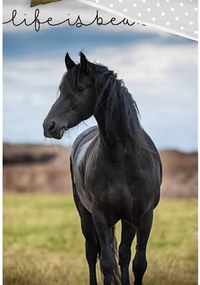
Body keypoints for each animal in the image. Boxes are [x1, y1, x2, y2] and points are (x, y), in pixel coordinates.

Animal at [43, 52, 162, 282]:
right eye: (61, 90)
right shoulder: (100, 216)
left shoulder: (143, 217)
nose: (48, 125)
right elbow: (106, 263)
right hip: (85, 216)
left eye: (80, 89)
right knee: (91, 253)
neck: (123, 159)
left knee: (123, 255)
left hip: (127, 221)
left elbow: (138, 263)